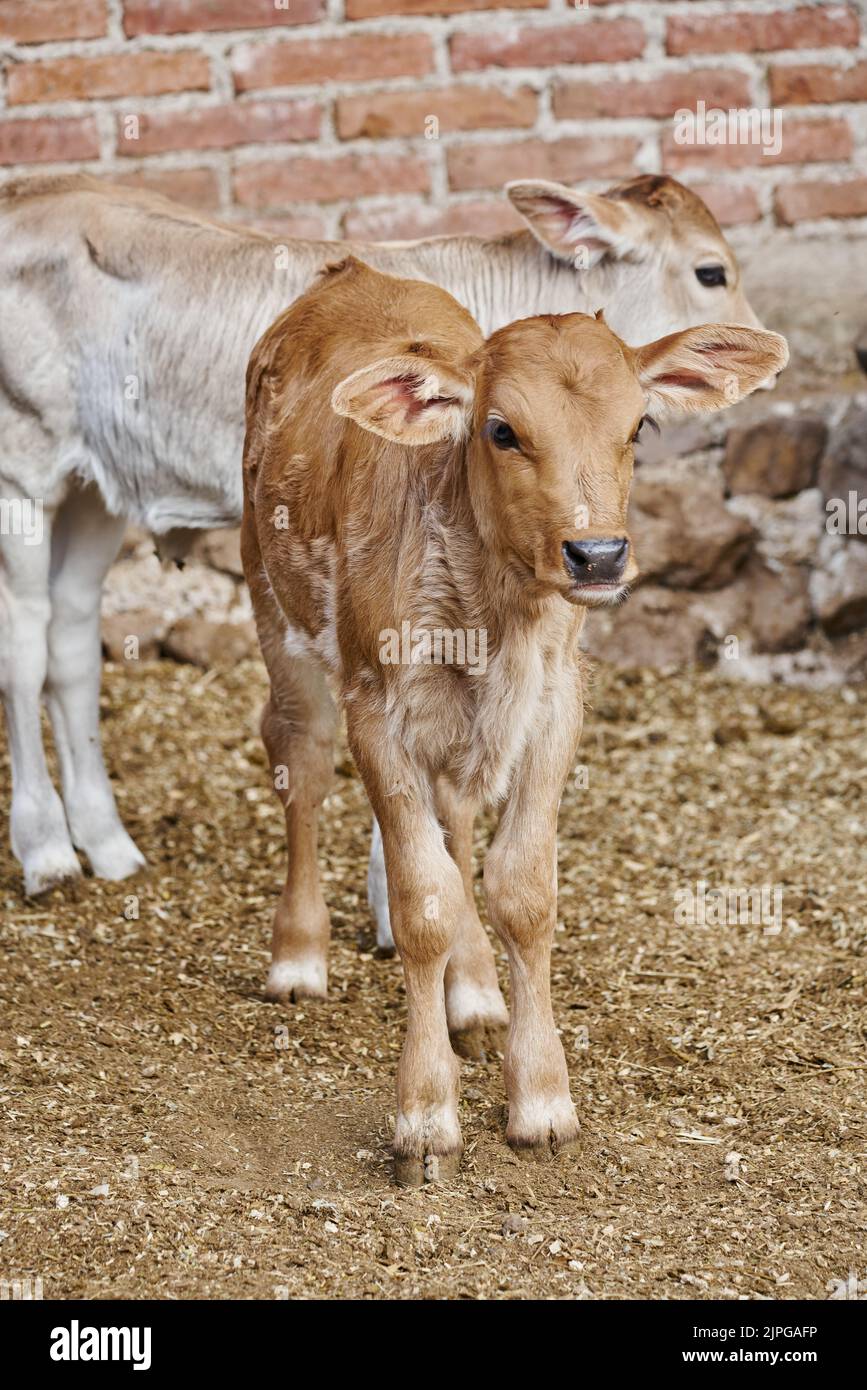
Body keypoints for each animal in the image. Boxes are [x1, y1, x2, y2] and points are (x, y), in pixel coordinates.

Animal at [0, 171, 770, 916]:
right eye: (710, 272)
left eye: (637, 426)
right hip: (23, 475)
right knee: (26, 648)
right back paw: (47, 852)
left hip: (92, 492)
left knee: (72, 639)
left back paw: (106, 843)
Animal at [240, 254, 788, 1183]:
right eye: (501, 430)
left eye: (639, 424)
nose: (597, 555)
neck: (491, 615)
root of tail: (351, 269)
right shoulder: (375, 705)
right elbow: (421, 898)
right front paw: (425, 1114)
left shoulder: (554, 704)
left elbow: (522, 891)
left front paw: (540, 1096)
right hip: (276, 610)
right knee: (300, 763)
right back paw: (299, 957)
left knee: (456, 814)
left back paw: (473, 992)